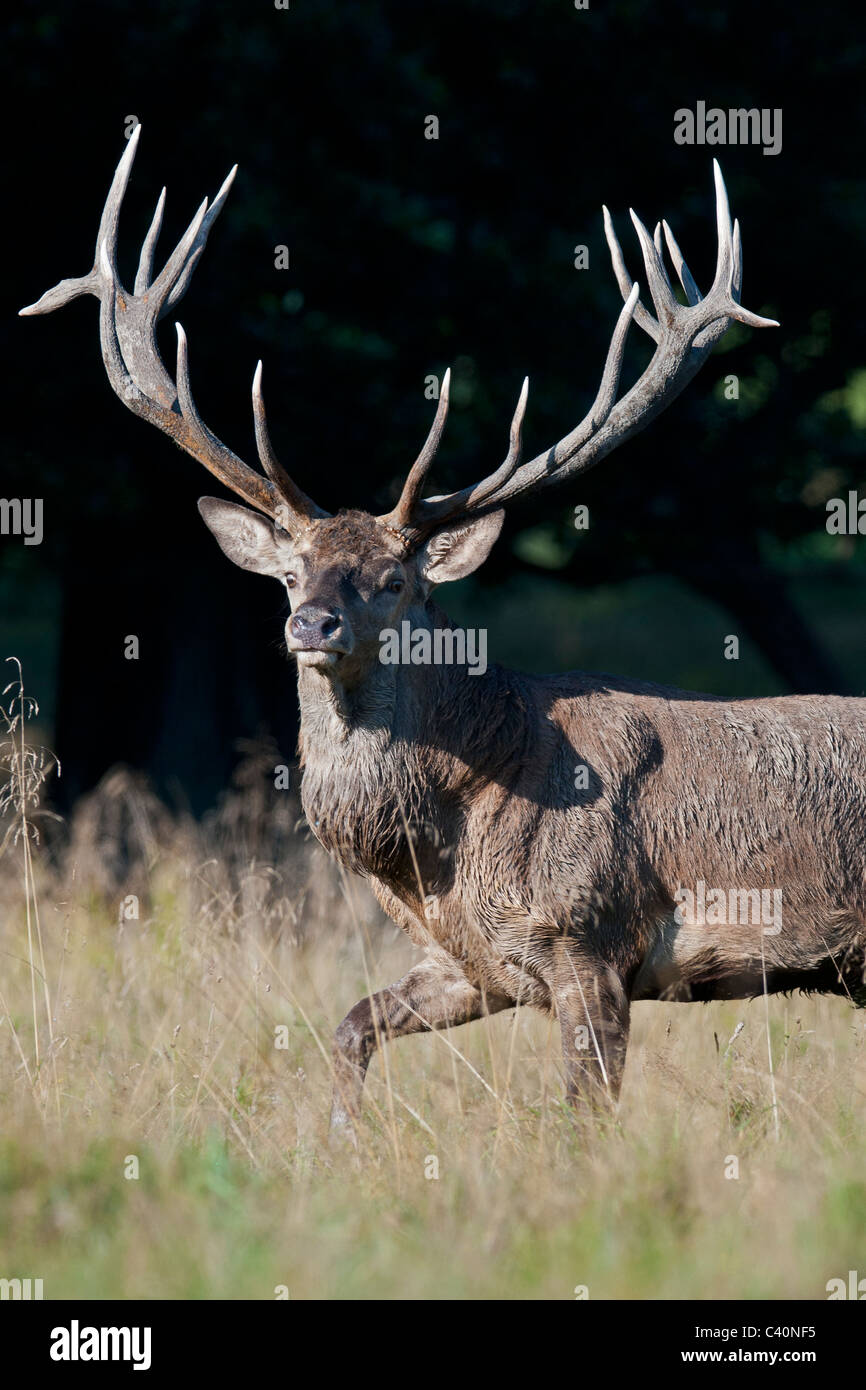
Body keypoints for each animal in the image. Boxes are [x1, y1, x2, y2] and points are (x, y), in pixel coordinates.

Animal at [21, 129, 866, 1144]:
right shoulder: (472, 962)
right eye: (290, 572)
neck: (440, 848)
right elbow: (351, 1025)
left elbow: (580, 1120)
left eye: (395, 582)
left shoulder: (590, 935)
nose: (311, 623)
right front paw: (342, 1146)